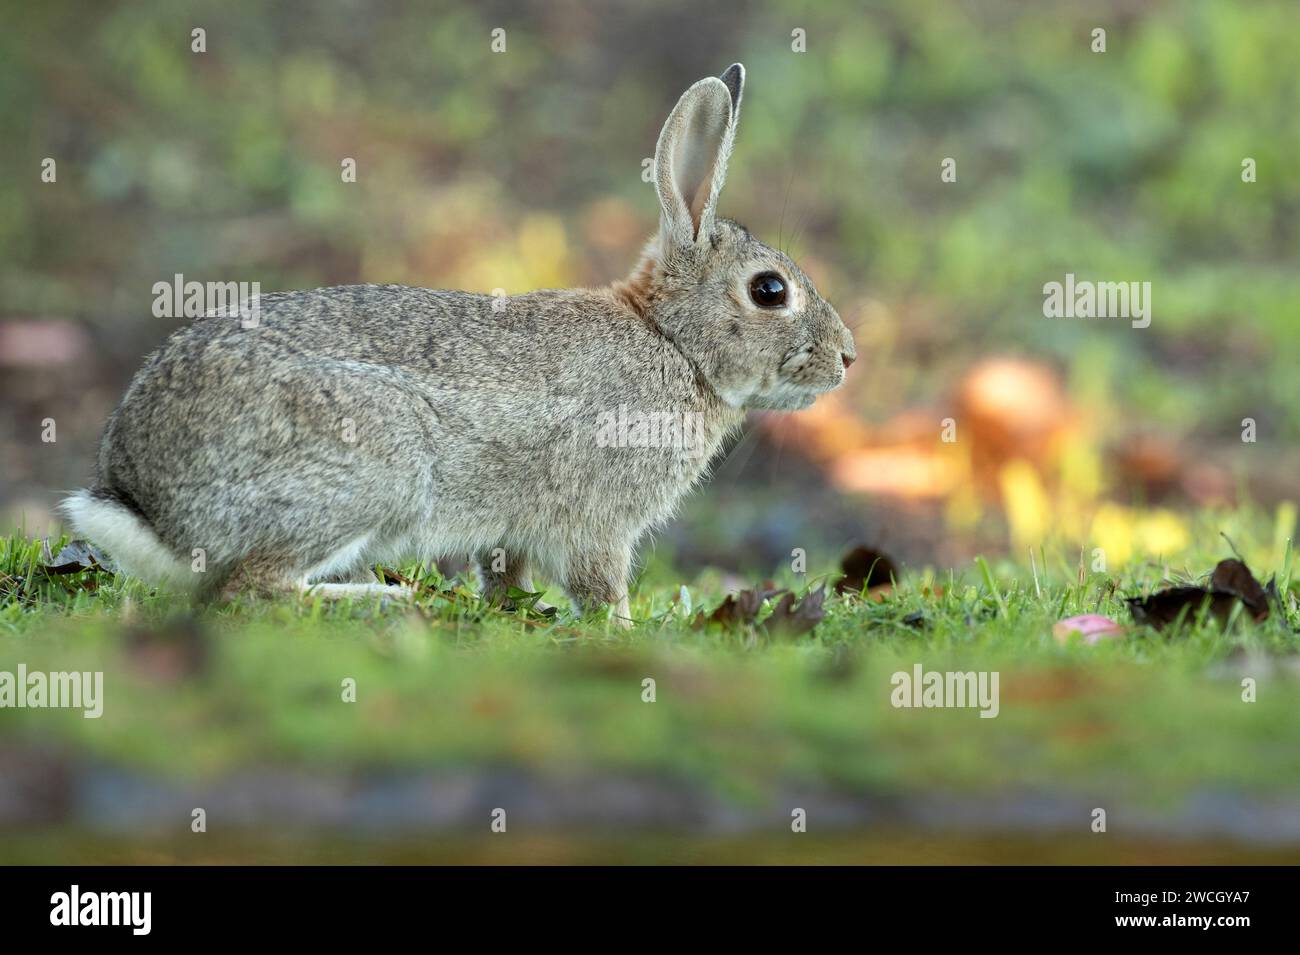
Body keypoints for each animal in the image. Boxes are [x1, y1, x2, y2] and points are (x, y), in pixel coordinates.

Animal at [62, 63, 856, 623]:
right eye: (770, 291)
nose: (848, 357)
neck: (672, 340)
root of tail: (147, 505)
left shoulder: (515, 532)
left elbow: (506, 575)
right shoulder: (597, 521)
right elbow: (598, 584)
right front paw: (624, 629)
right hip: (372, 464)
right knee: (255, 588)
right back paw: (380, 602)